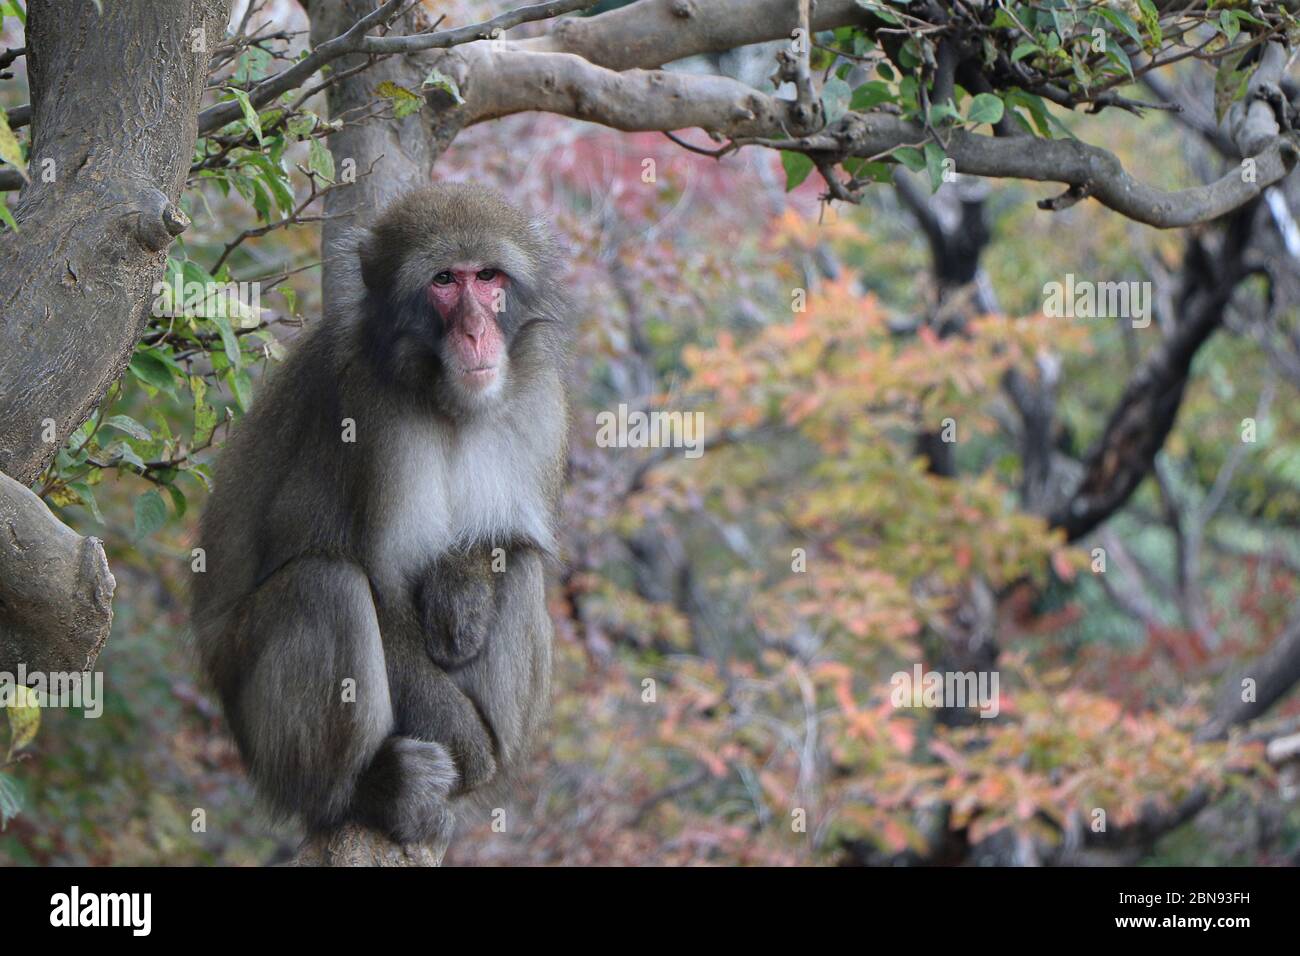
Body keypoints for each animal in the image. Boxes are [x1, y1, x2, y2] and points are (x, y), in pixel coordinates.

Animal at [191, 184, 569, 846]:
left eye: (488, 277)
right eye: (444, 281)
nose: (476, 332)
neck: (444, 400)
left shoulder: (543, 401)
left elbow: (510, 539)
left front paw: (461, 589)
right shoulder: (362, 412)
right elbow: (368, 577)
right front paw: (464, 740)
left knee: (521, 572)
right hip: (261, 733)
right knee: (326, 586)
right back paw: (367, 791)